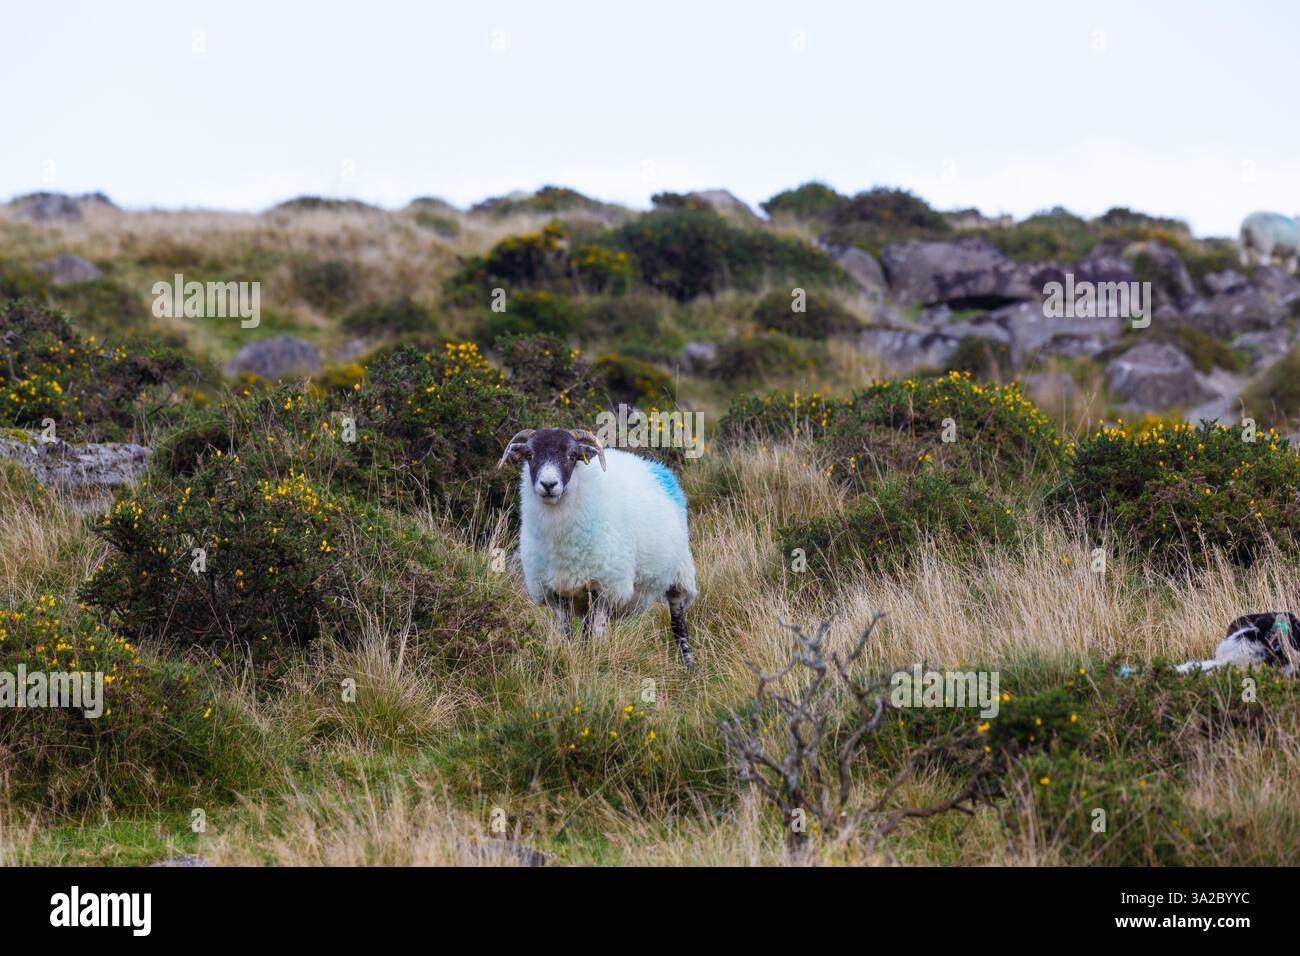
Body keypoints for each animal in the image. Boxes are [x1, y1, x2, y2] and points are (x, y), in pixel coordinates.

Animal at [497, 427, 699, 669]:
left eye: (573, 455)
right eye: (529, 454)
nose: (548, 485)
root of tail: (658, 468)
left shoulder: (607, 586)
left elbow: (599, 632)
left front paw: (599, 661)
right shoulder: (555, 590)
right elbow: (565, 633)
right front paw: (571, 657)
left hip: (680, 576)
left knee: (678, 626)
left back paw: (689, 666)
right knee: (586, 627)